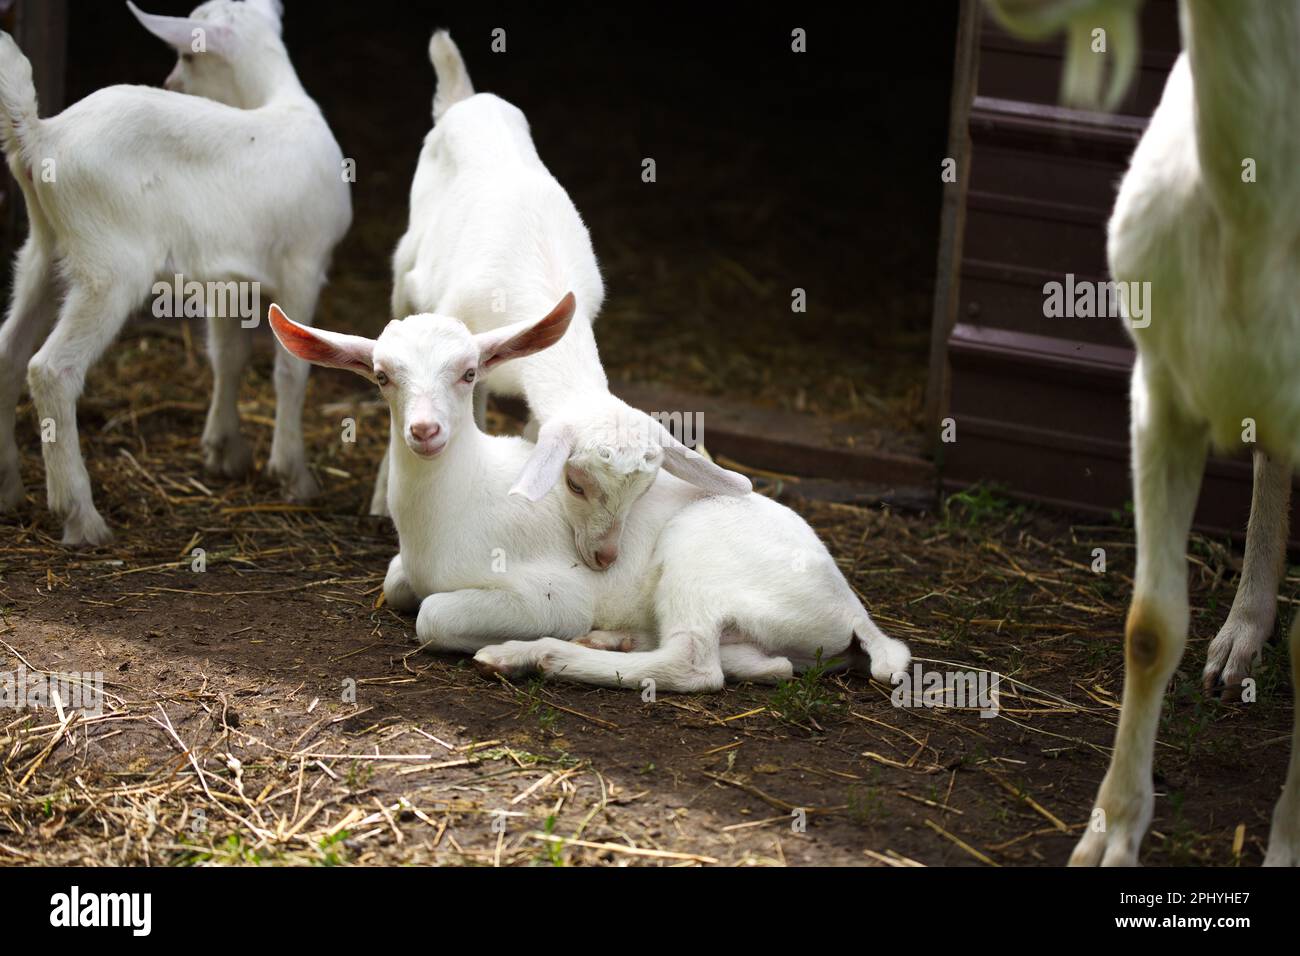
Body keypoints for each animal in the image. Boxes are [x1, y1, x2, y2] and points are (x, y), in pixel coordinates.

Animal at [0, 0, 350, 546]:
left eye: (188, 56)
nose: (170, 81)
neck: (279, 103)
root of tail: (41, 135)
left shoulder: (228, 277)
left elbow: (229, 356)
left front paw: (225, 450)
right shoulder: (304, 263)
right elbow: (291, 367)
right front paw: (293, 474)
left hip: (43, 249)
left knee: (10, 351)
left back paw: (9, 489)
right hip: (109, 263)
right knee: (51, 369)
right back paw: (81, 516)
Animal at [268, 299, 911, 693]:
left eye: (470, 373)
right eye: (381, 376)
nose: (425, 431)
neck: (454, 504)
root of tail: (851, 610)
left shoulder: (552, 592)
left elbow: (431, 615)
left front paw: (525, 643)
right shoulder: (408, 568)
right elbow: (398, 583)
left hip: (701, 557)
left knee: (695, 665)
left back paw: (539, 655)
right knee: (767, 666)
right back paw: (608, 641)